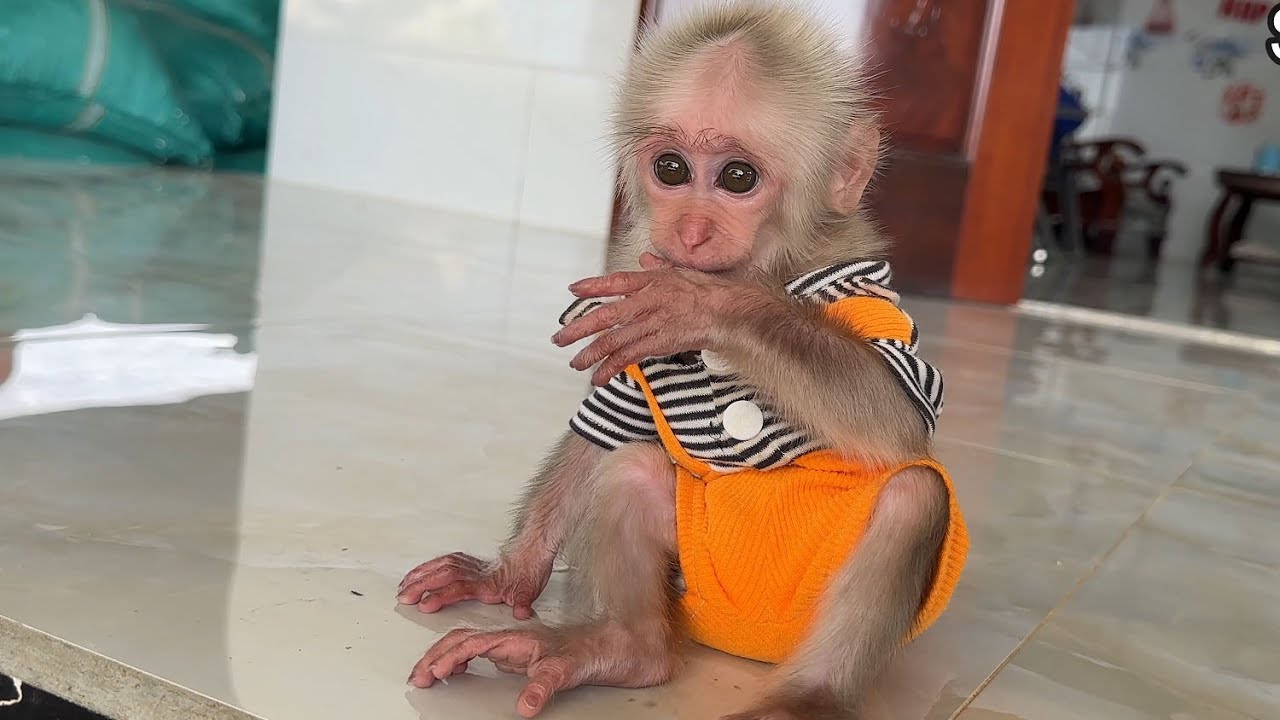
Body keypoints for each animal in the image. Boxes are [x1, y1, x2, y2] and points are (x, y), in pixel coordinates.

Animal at [396, 3, 968, 718]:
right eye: (671, 169)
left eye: (737, 177)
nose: (690, 233)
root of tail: (744, 643)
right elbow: (603, 432)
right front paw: (508, 575)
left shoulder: (870, 293)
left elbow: (898, 414)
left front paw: (697, 304)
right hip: (693, 593)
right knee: (635, 469)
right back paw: (624, 647)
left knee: (914, 496)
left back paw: (807, 697)